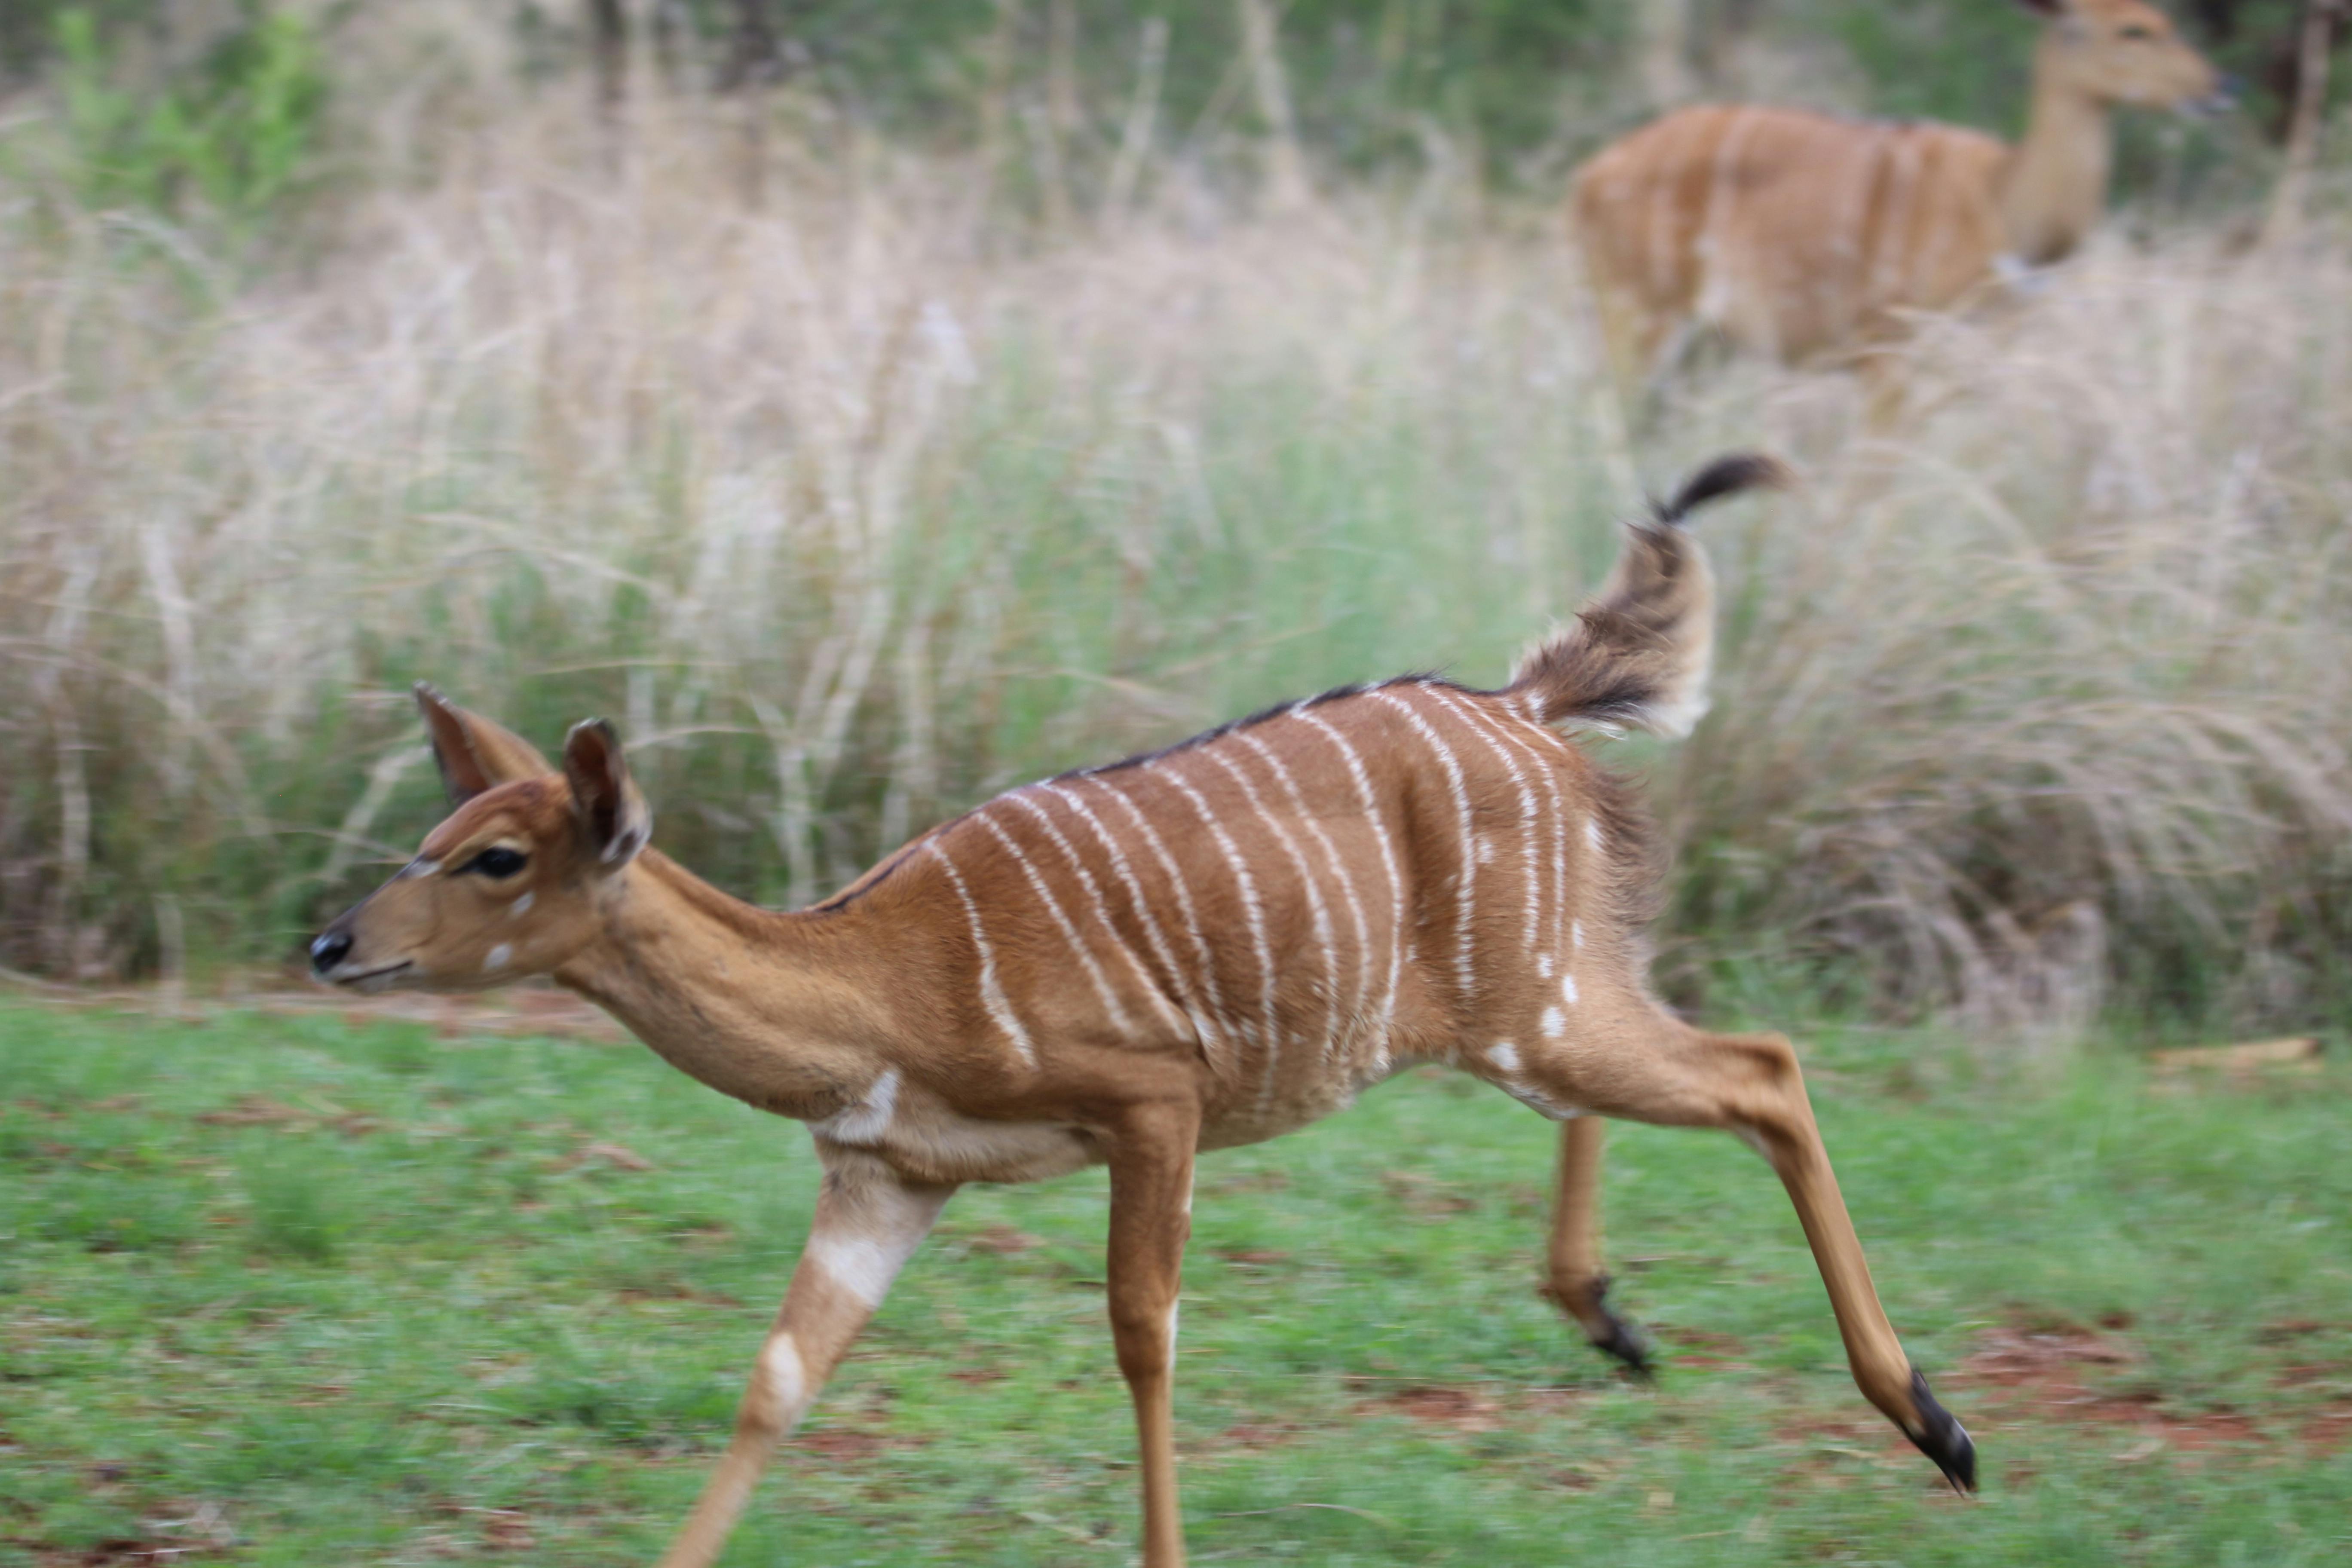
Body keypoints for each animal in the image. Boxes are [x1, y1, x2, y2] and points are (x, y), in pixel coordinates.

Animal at [311, 455, 1974, 1567]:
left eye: (497, 856)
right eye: (433, 831)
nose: (331, 942)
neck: (889, 979)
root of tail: (1532, 706)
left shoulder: (1150, 1104)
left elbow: (1143, 1336)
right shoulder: (886, 1172)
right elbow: (781, 1375)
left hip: (1533, 1006)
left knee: (1763, 1065)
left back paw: (1933, 1424)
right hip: (1527, 1009)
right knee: (1656, 1077)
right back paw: (1610, 1319)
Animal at [1573, 0, 2223, 390]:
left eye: (2164, 17)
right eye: (2133, 30)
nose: (2222, 86)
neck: (2000, 199)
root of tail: (1590, 174)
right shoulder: (1890, 355)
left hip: (1701, 350)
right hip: (1641, 322)